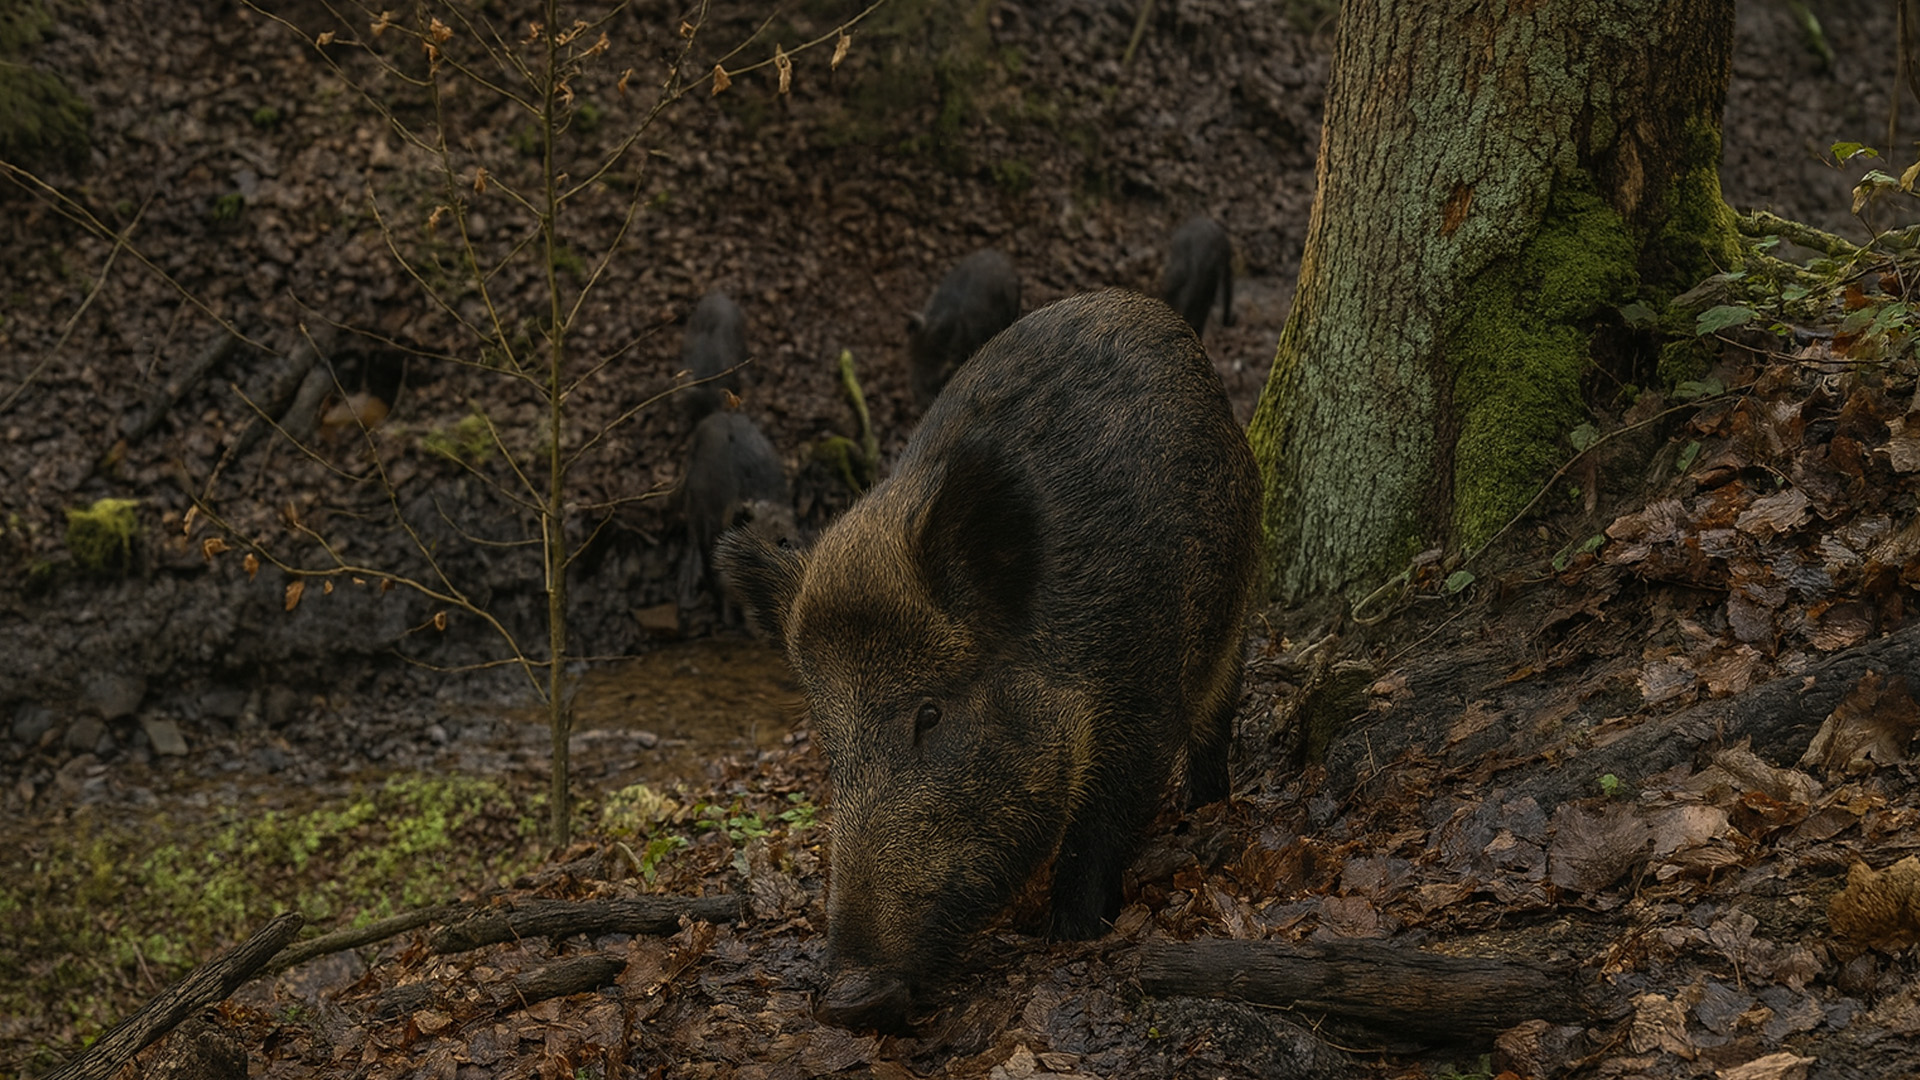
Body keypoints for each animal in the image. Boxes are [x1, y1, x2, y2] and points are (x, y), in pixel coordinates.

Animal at [716, 290, 1261, 1031]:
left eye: (929, 713)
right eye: (830, 742)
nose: (850, 997)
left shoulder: (1142, 698)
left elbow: (1102, 821)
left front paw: (1070, 933)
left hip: (1235, 606)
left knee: (1216, 723)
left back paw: (1205, 807)